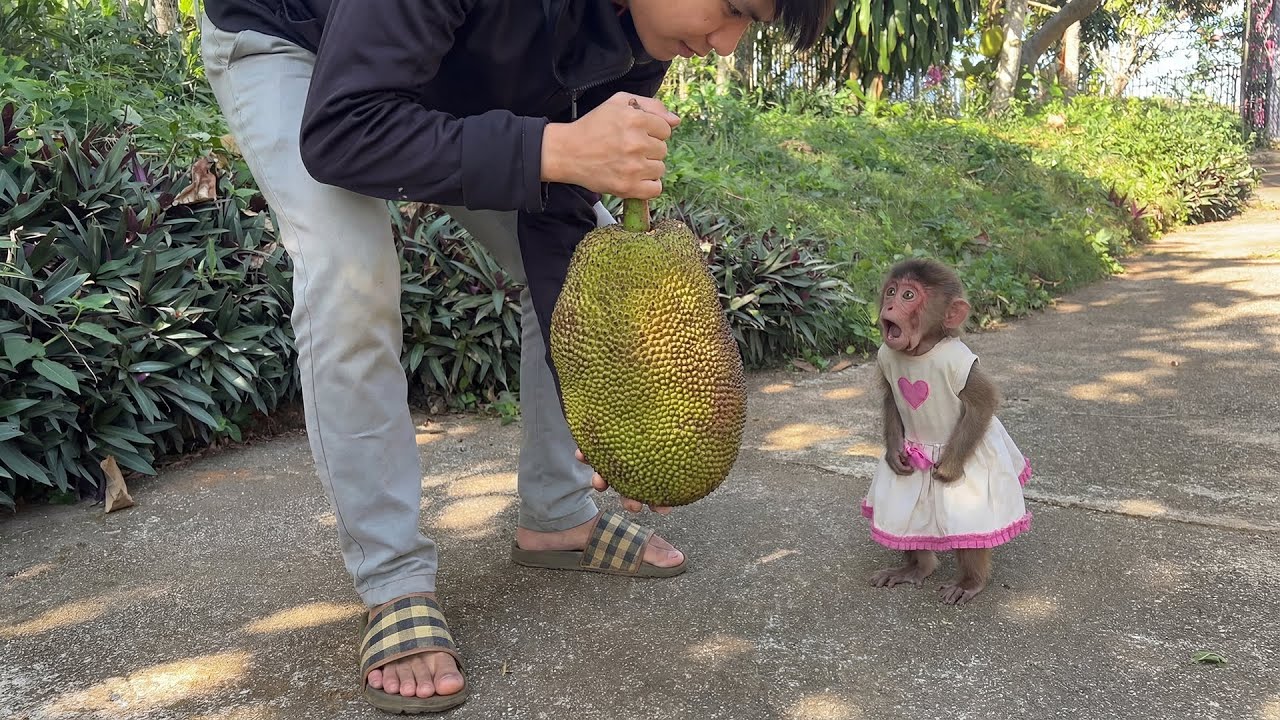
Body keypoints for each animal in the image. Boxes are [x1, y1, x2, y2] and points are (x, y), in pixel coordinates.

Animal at [860, 258, 1032, 606]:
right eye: (891, 291)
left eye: (909, 295)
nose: (889, 305)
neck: (920, 350)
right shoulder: (885, 357)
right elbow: (891, 400)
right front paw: (894, 453)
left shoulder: (961, 364)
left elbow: (981, 404)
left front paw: (948, 470)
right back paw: (917, 567)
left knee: (970, 532)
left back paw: (970, 581)